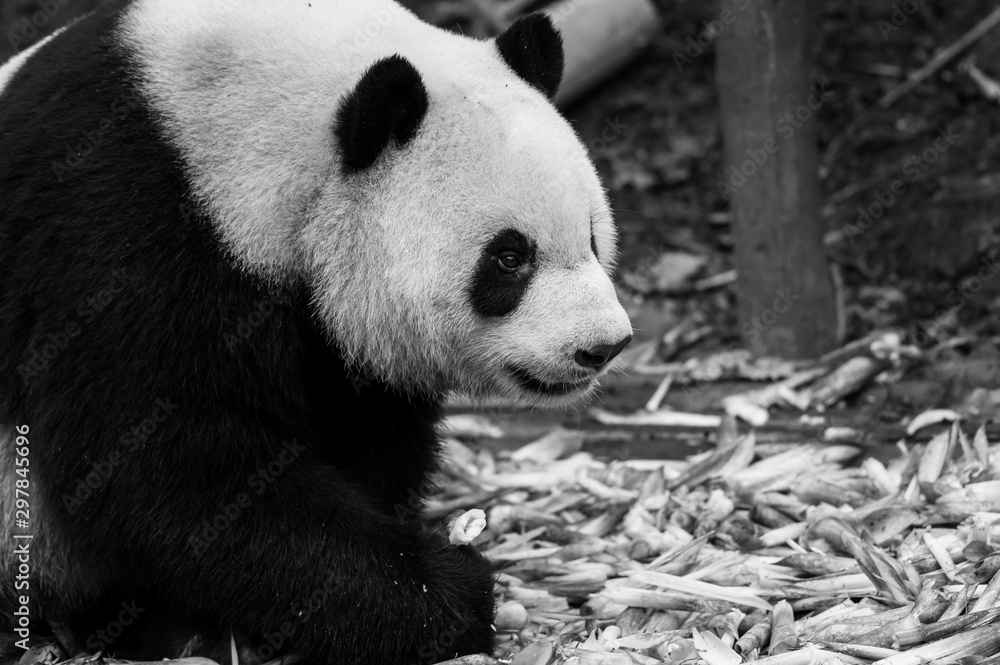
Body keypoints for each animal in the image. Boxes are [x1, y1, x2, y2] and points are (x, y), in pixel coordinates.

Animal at [0, 0, 632, 663]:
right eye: (510, 258)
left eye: (593, 237)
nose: (602, 347)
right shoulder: (125, 223)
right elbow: (160, 459)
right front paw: (442, 593)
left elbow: (370, 427)